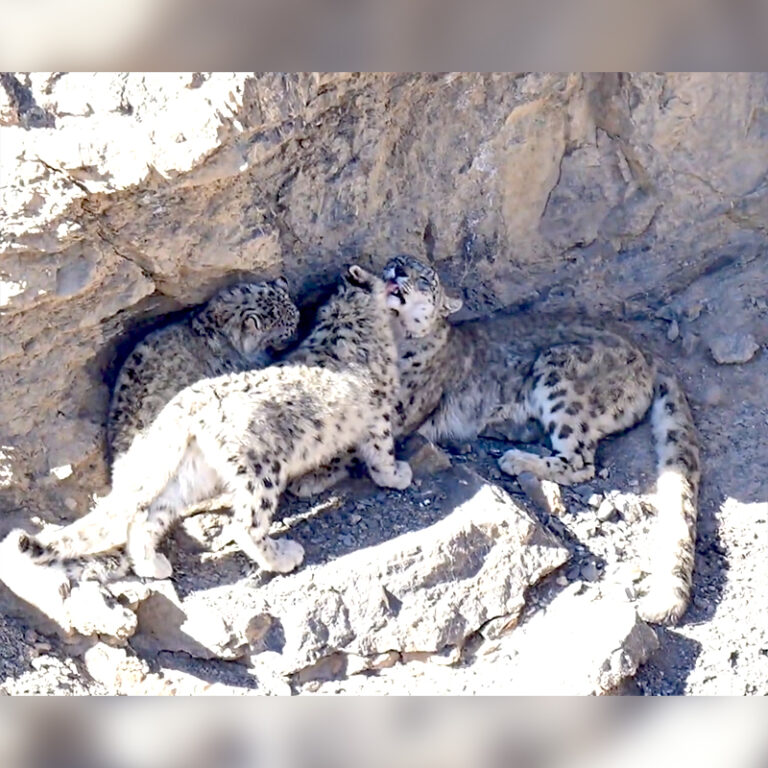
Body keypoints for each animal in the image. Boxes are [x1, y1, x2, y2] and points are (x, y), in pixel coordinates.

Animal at [8, 264, 411, 590]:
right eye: (389, 276)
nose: (397, 269)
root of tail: (186, 406)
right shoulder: (379, 413)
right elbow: (381, 451)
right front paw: (396, 474)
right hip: (260, 470)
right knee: (245, 525)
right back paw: (283, 555)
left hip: (190, 473)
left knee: (150, 515)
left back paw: (154, 565)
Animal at [291, 255, 700, 626]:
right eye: (394, 260)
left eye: (426, 279)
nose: (399, 270)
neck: (390, 335)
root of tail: (645, 350)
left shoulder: (396, 414)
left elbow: (351, 445)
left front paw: (309, 477)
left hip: (559, 374)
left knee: (581, 459)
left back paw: (516, 459)